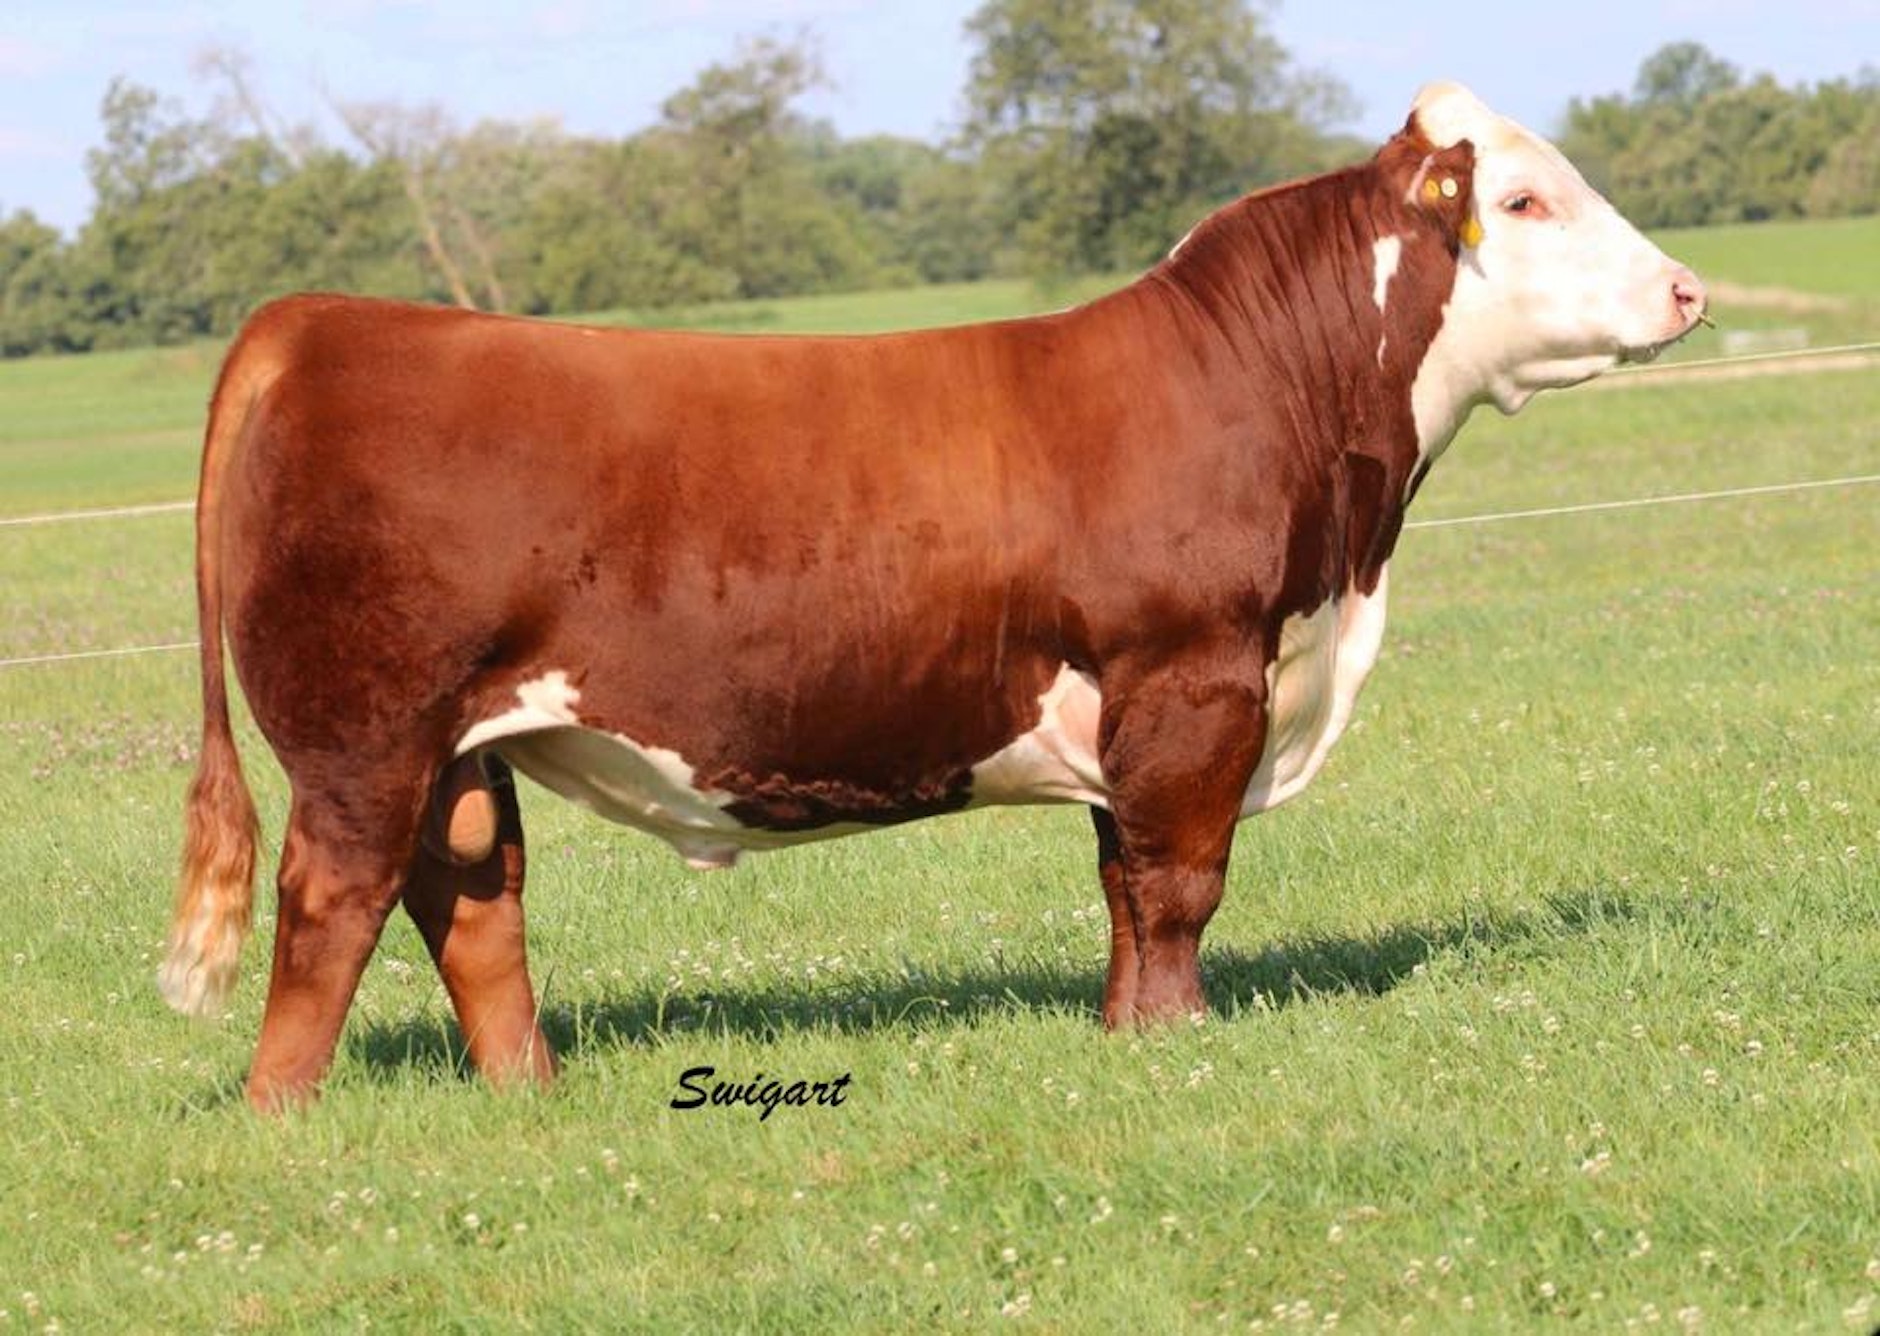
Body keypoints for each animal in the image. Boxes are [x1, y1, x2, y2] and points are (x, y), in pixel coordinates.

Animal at [159, 83, 1707, 1110]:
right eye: (1524, 201)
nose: (1688, 290)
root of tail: (322, 318)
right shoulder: (1196, 674)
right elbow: (1181, 881)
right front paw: (1178, 1044)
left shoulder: (1135, 708)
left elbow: (1122, 880)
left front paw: (1121, 1036)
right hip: (363, 734)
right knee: (333, 900)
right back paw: (283, 1112)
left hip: (456, 742)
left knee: (472, 895)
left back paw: (528, 1092)